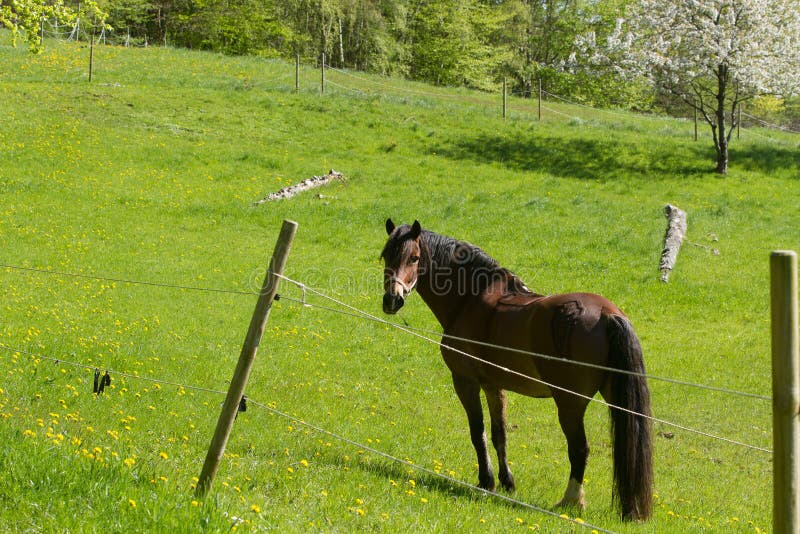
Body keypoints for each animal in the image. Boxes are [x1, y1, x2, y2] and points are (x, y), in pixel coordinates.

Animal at [380, 219, 653, 521]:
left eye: (414, 258)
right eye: (386, 256)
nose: (392, 300)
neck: (469, 299)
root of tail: (607, 314)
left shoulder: (465, 381)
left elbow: (478, 431)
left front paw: (486, 481)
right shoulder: (493, 385)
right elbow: (499, 433)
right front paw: (506, 481)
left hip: (570, 404)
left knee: (580, 449)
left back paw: (571, 502)